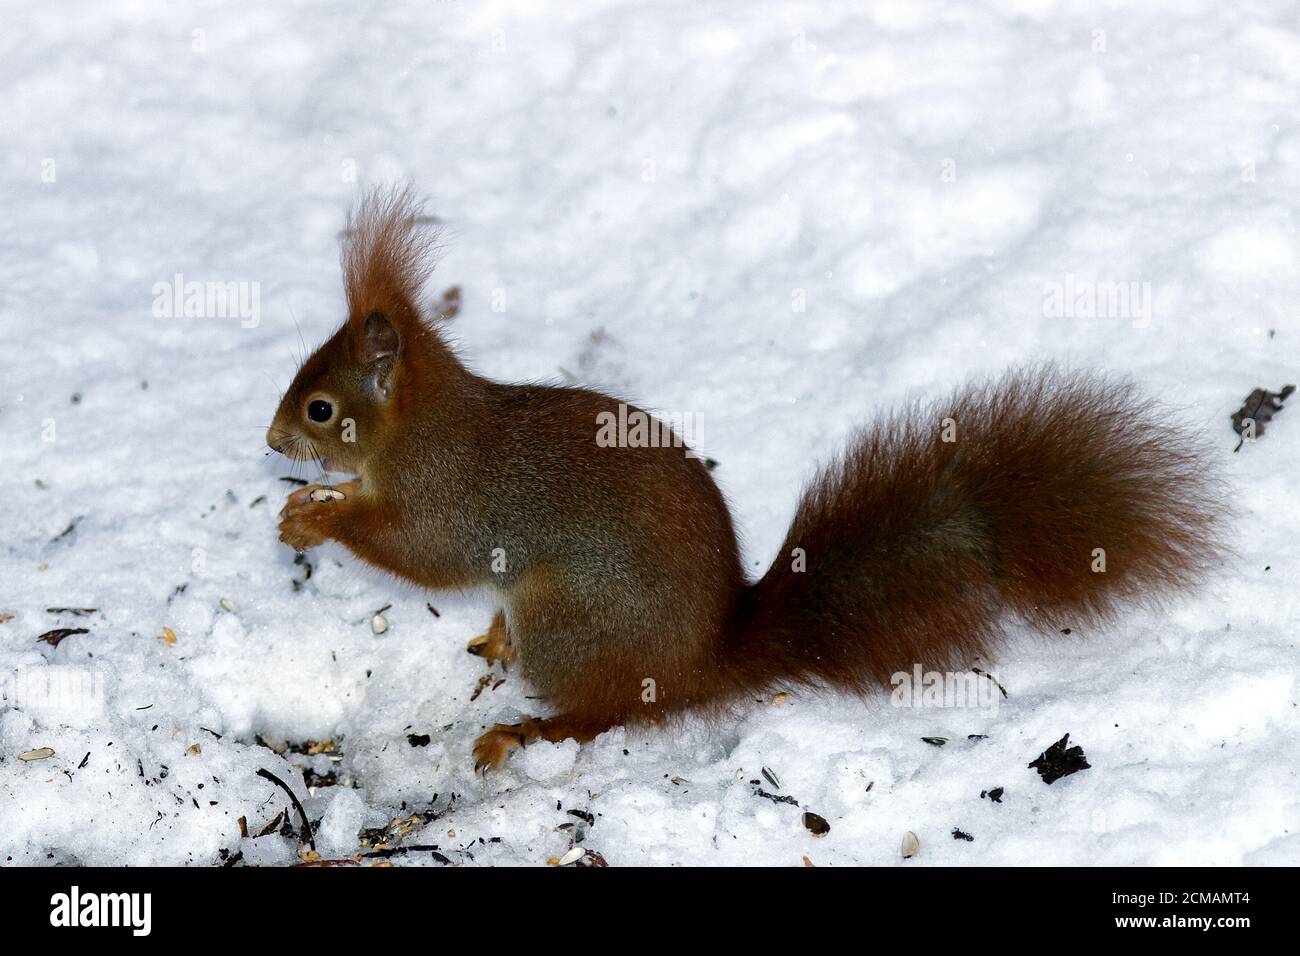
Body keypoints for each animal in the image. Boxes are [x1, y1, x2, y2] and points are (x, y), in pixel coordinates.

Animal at [268, 187, 1221, 772]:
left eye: (319, 408)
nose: (271, 440)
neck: (417, 428)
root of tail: (706, 660)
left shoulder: (450, 495)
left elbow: (421, 552)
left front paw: (313, 520)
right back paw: (496, 651)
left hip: (568, 615)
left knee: (603, 712)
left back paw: (524, 728)